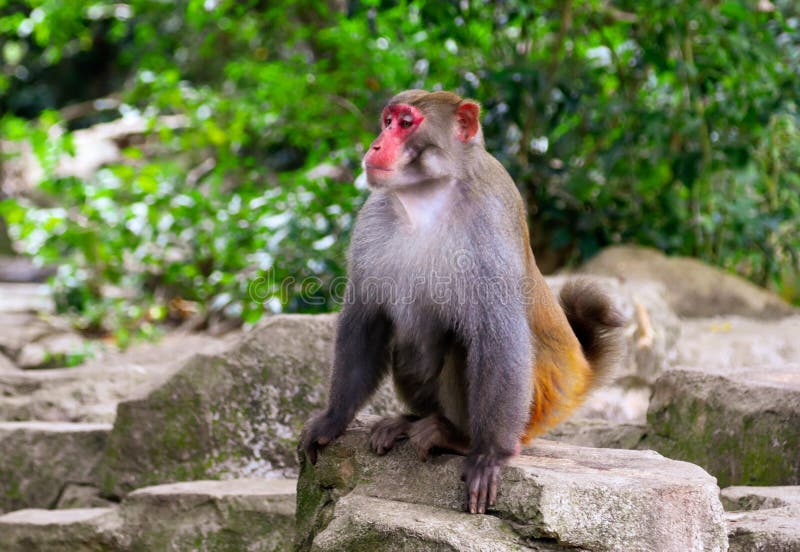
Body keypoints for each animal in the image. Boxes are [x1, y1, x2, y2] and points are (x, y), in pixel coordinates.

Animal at [301, 90, 624, 515]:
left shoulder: (489, 223)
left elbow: (499, 335)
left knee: (463, 342)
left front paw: (489, 455)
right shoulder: (373, 218)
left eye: (407, 123)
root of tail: (577, 371)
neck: (428, 197)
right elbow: (367, 318)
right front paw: (333, 418)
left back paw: (456, 436)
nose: (375, 145)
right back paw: (412, 420)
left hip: (535, 405)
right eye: (387, 121)